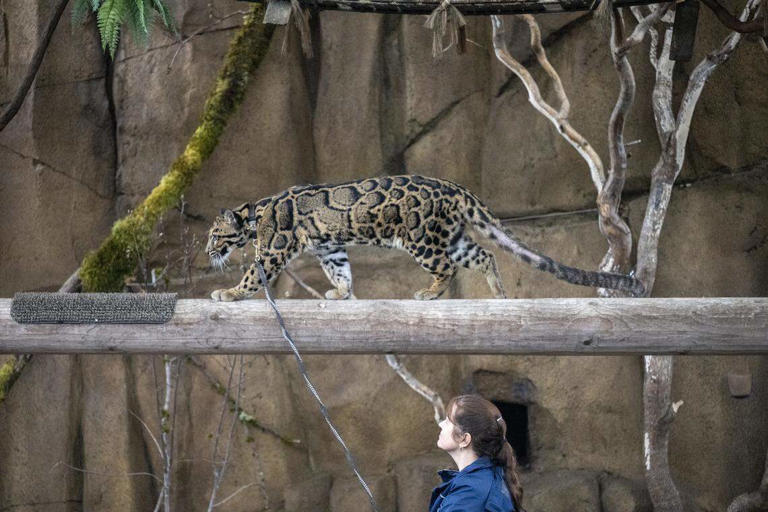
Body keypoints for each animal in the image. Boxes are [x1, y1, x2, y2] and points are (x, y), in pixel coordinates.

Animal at [205, 175, 644, 301]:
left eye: (212, 235)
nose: (208, 251)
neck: (255, 214)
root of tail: (456, 188)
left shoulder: (274, 247)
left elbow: (253, 274)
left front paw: (228, 292)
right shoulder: (331, 247)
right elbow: (341, 271)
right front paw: (341, 293)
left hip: (421, 238)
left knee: (446, 267)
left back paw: (429, 293)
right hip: (453, 237)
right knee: (485, 255)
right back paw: (499, 294)